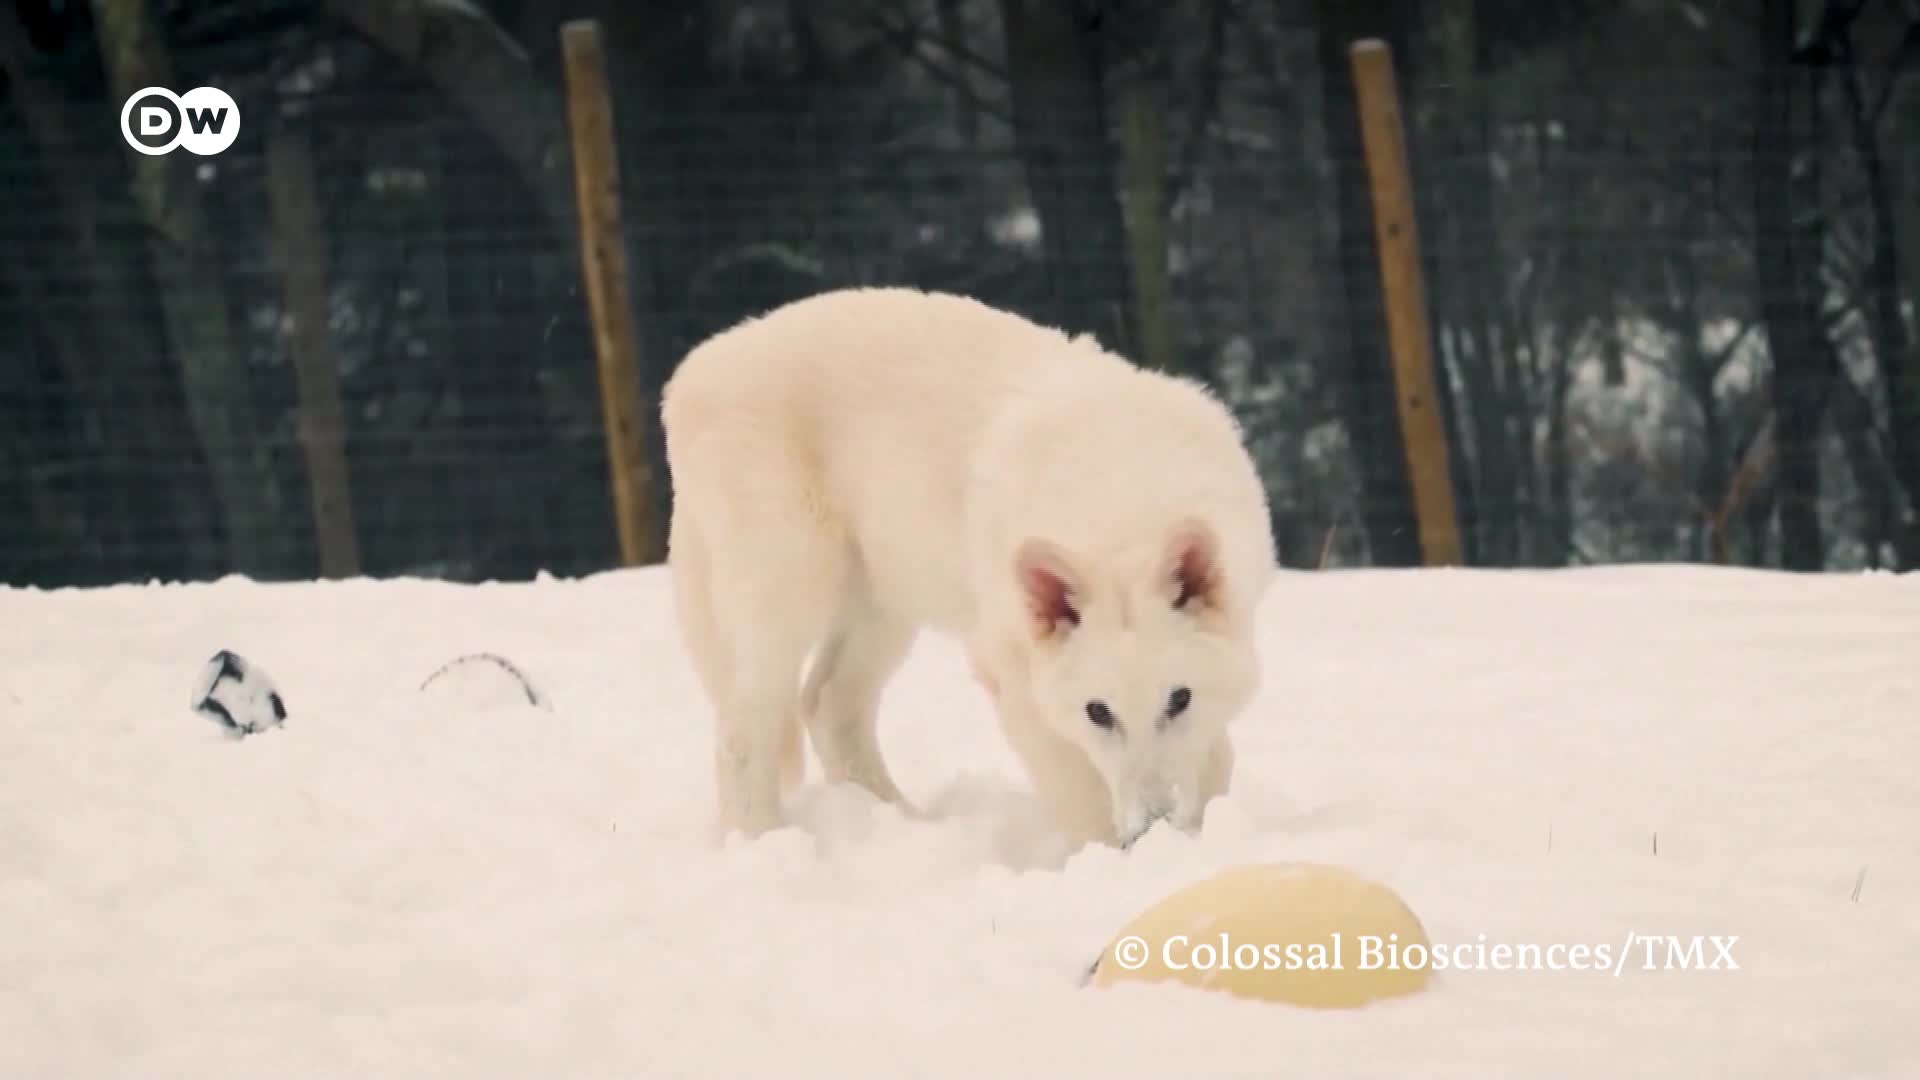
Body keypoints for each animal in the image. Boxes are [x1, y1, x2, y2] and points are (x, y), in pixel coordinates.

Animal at [660, 287, 1275, 848]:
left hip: (883, 608)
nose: (1152, 831)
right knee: (744, 736)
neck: (1120, 503)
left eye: (1179, 700)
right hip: (788, 599)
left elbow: (1216, 762)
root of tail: (691, 374)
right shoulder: (1013, 679)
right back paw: (768, 843)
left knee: (829, 707)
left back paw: (903, 827)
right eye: (1099, 713)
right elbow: (1081, 799)